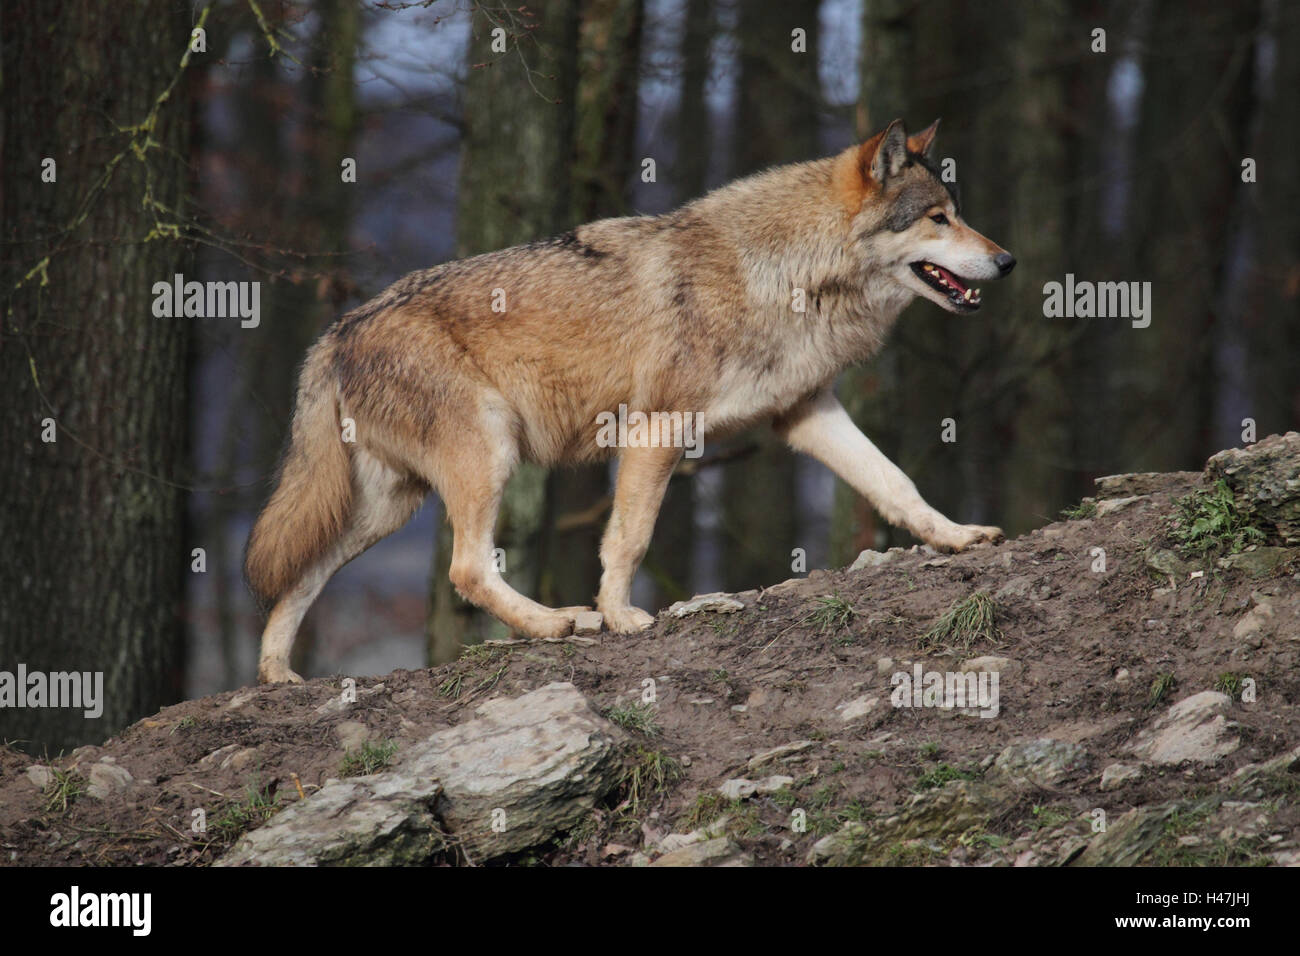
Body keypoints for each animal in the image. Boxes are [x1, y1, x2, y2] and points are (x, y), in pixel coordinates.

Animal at [246, 119, 1015, 683]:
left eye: (960, 215)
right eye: (938, 219)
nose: (1007, 261)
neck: (786, 273)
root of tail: (336, 333)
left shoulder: (804, 413)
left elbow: (896, 483)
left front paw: (957, 537)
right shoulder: (657, 430)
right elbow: (629, 537)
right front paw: (620, 618)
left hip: (384, 507)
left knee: (296, 581)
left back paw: (278, 678)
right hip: (486, 459)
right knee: (466, 567)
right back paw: (559, 622)